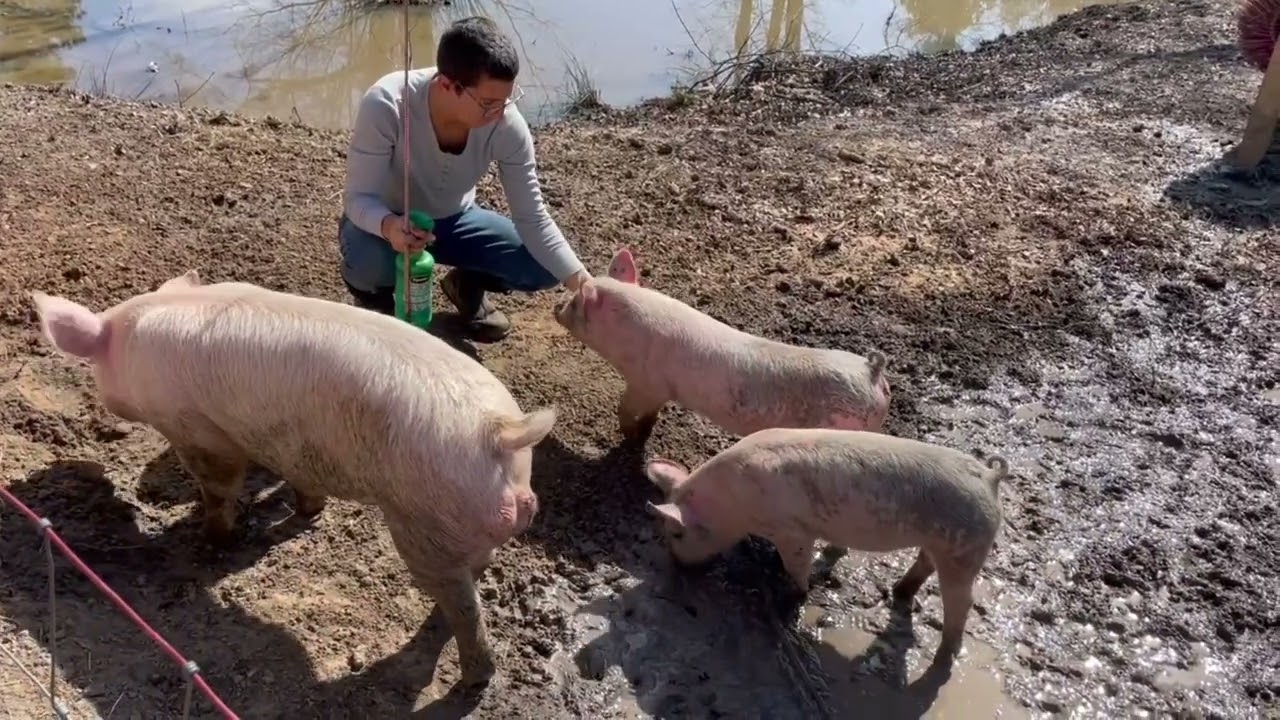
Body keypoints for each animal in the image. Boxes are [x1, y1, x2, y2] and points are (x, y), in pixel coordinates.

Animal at [30, 270, 555, 689]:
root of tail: (500, 432)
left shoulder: (197, 430)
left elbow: (218, 485)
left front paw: (209, 540)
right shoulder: (287, 441)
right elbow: (298, 478)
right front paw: (305, 513)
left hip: (427, 521)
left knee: (462, 607)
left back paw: (471, 681)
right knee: (475, 573)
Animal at [552, 248, 891, 441]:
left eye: (576, 303)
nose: (556, 306)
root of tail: (871, 371)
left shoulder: (647, 383)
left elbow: (627, 407)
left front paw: (630, 436)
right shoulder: (663, 391)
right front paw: (646, 430)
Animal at [642, 427, 1008, 666]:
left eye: (677, 534)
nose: (677, 566)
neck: (732, 505)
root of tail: (990, 477)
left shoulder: (792, 531)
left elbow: (797, 564)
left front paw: (791, 594)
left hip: (966, 547)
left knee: (961, 600)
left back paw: (944, 657)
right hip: (941, 542)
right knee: (925, 563)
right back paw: (899, 593)